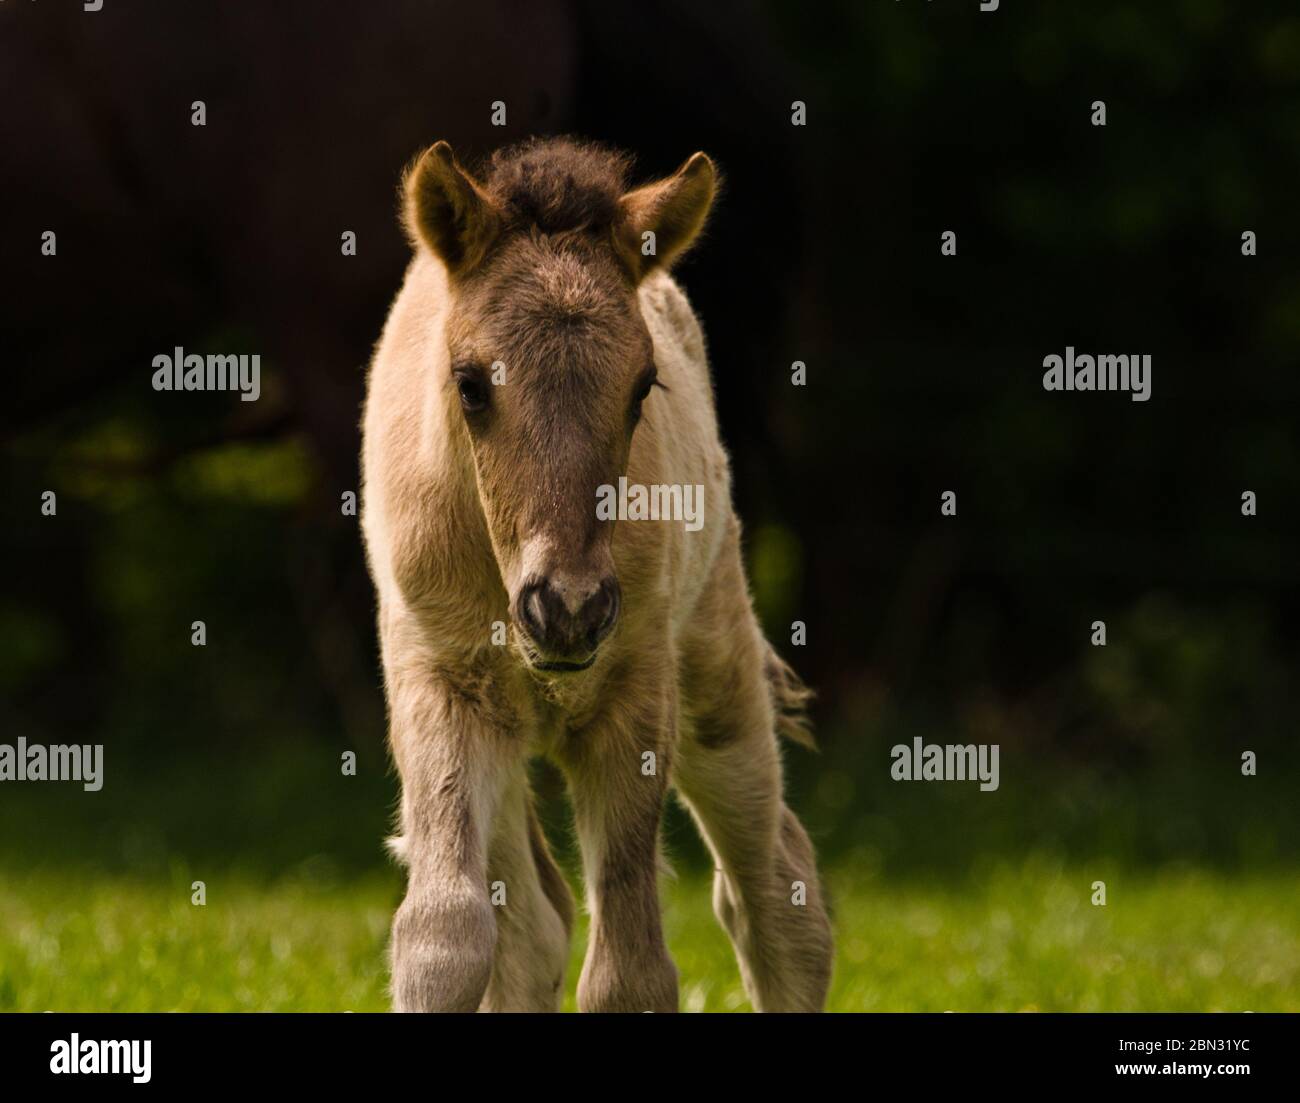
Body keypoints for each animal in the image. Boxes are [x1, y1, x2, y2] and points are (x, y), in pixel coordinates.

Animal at [360, 136, 832, 1012]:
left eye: (642, 386)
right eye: (469, 383)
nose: (568, 609)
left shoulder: (635, 692)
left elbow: (630, 972)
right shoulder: (439, 683)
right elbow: (445, 935)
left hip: (714, 671)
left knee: (777, 894)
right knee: (534, 920)